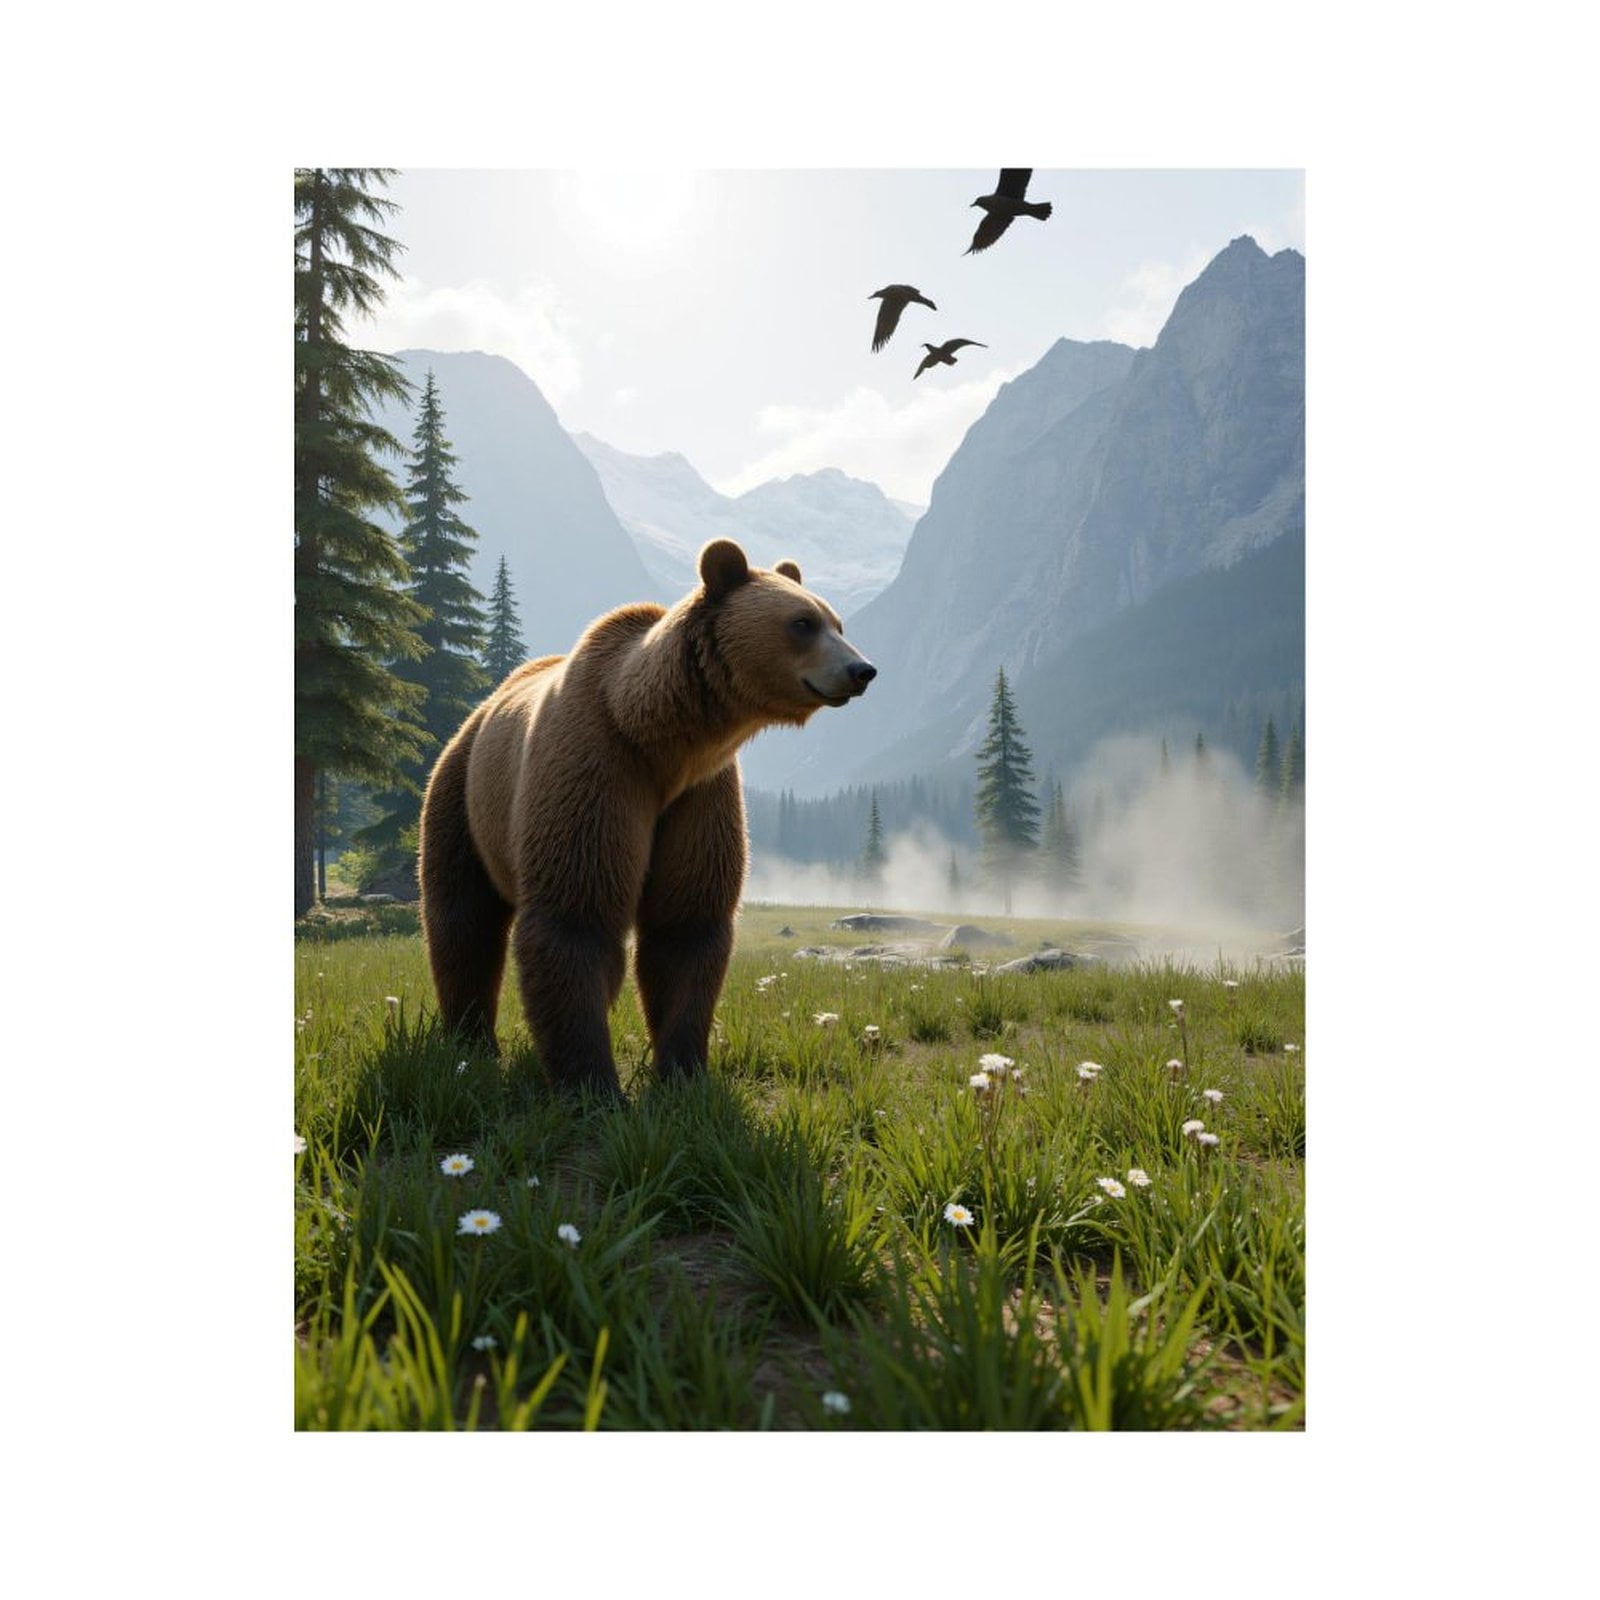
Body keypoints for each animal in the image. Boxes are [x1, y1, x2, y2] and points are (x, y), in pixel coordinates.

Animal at [417, 538, 876, 1099]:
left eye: (837, 622)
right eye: (803, 622)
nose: (862, 670)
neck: (661, 741)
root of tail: (479, 711)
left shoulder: (699, 798)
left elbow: (684, 927)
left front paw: (682, 1071)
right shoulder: (599, 768)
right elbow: (576, 916)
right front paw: (592, 1082)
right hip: (462, 794)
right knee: (463, 916)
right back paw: (470, 1039)